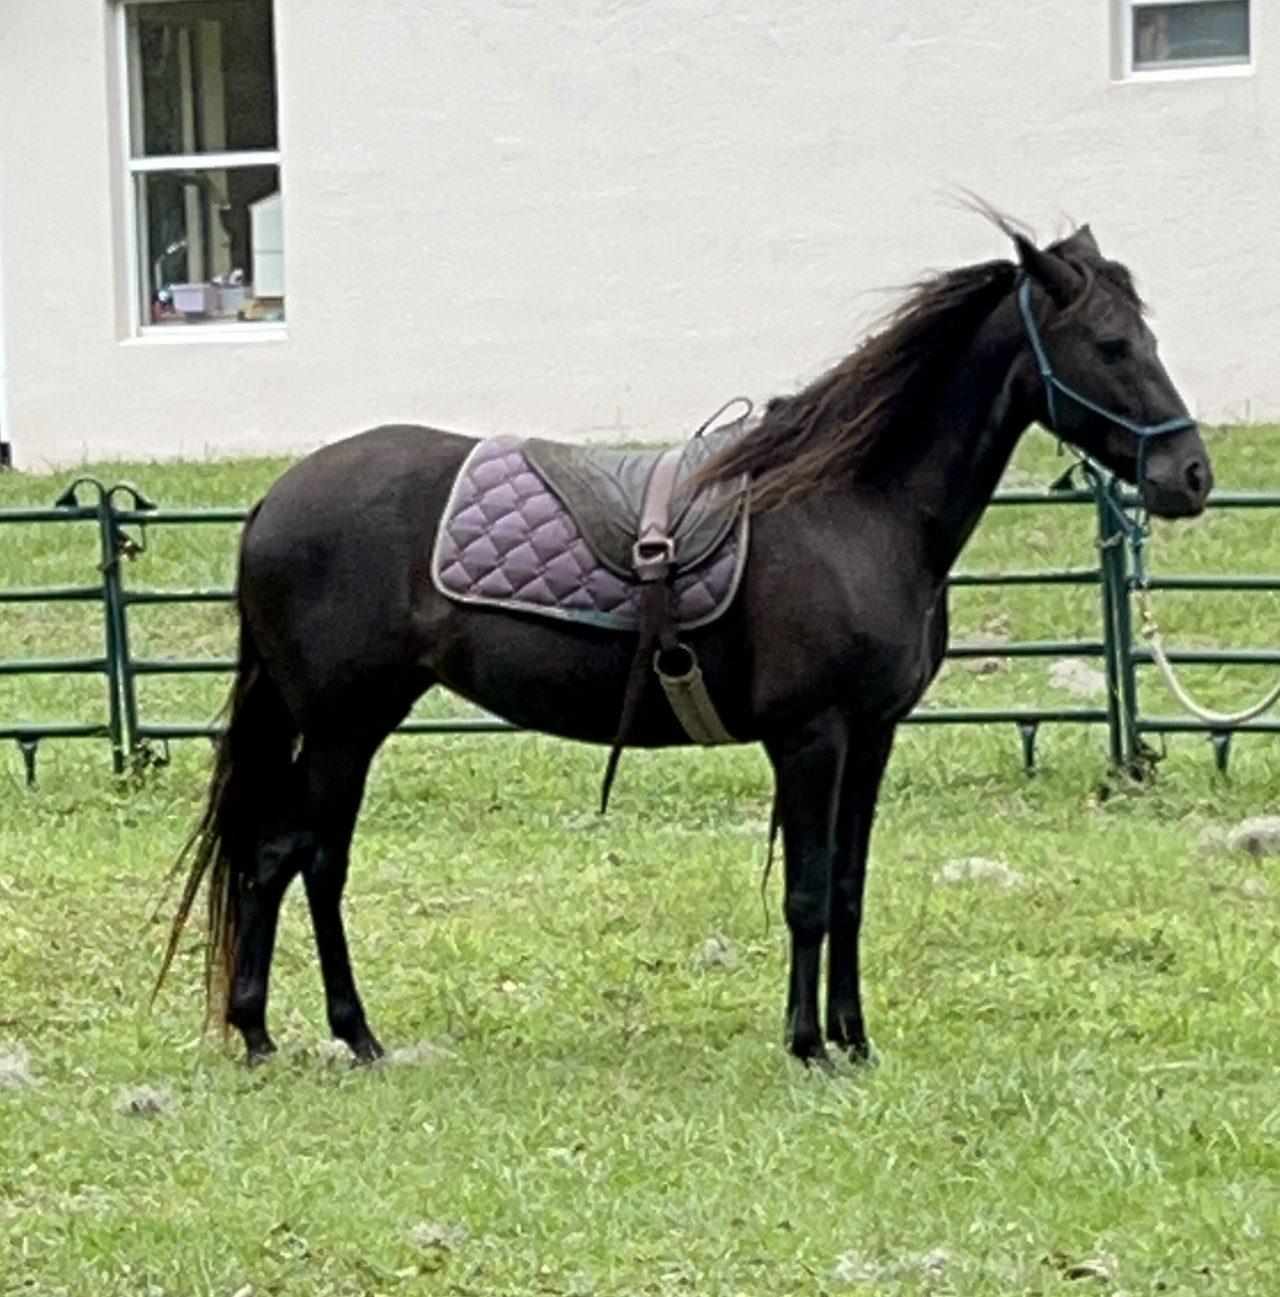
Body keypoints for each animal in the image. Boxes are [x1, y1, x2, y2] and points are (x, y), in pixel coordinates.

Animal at [158, 218, 1212, 1069]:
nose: (1190, 475)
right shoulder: (812, 736)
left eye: (1150, 335)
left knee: (269, 859)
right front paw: (807, 1044)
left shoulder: (871, 737)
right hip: (344, 727)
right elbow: (807, 895)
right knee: (308, 860)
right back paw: (350, 1032)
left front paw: (854, 1037)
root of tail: (276, 501)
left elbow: (850, 889)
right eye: (1112, 343)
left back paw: (258, 1030)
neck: (854, 507)